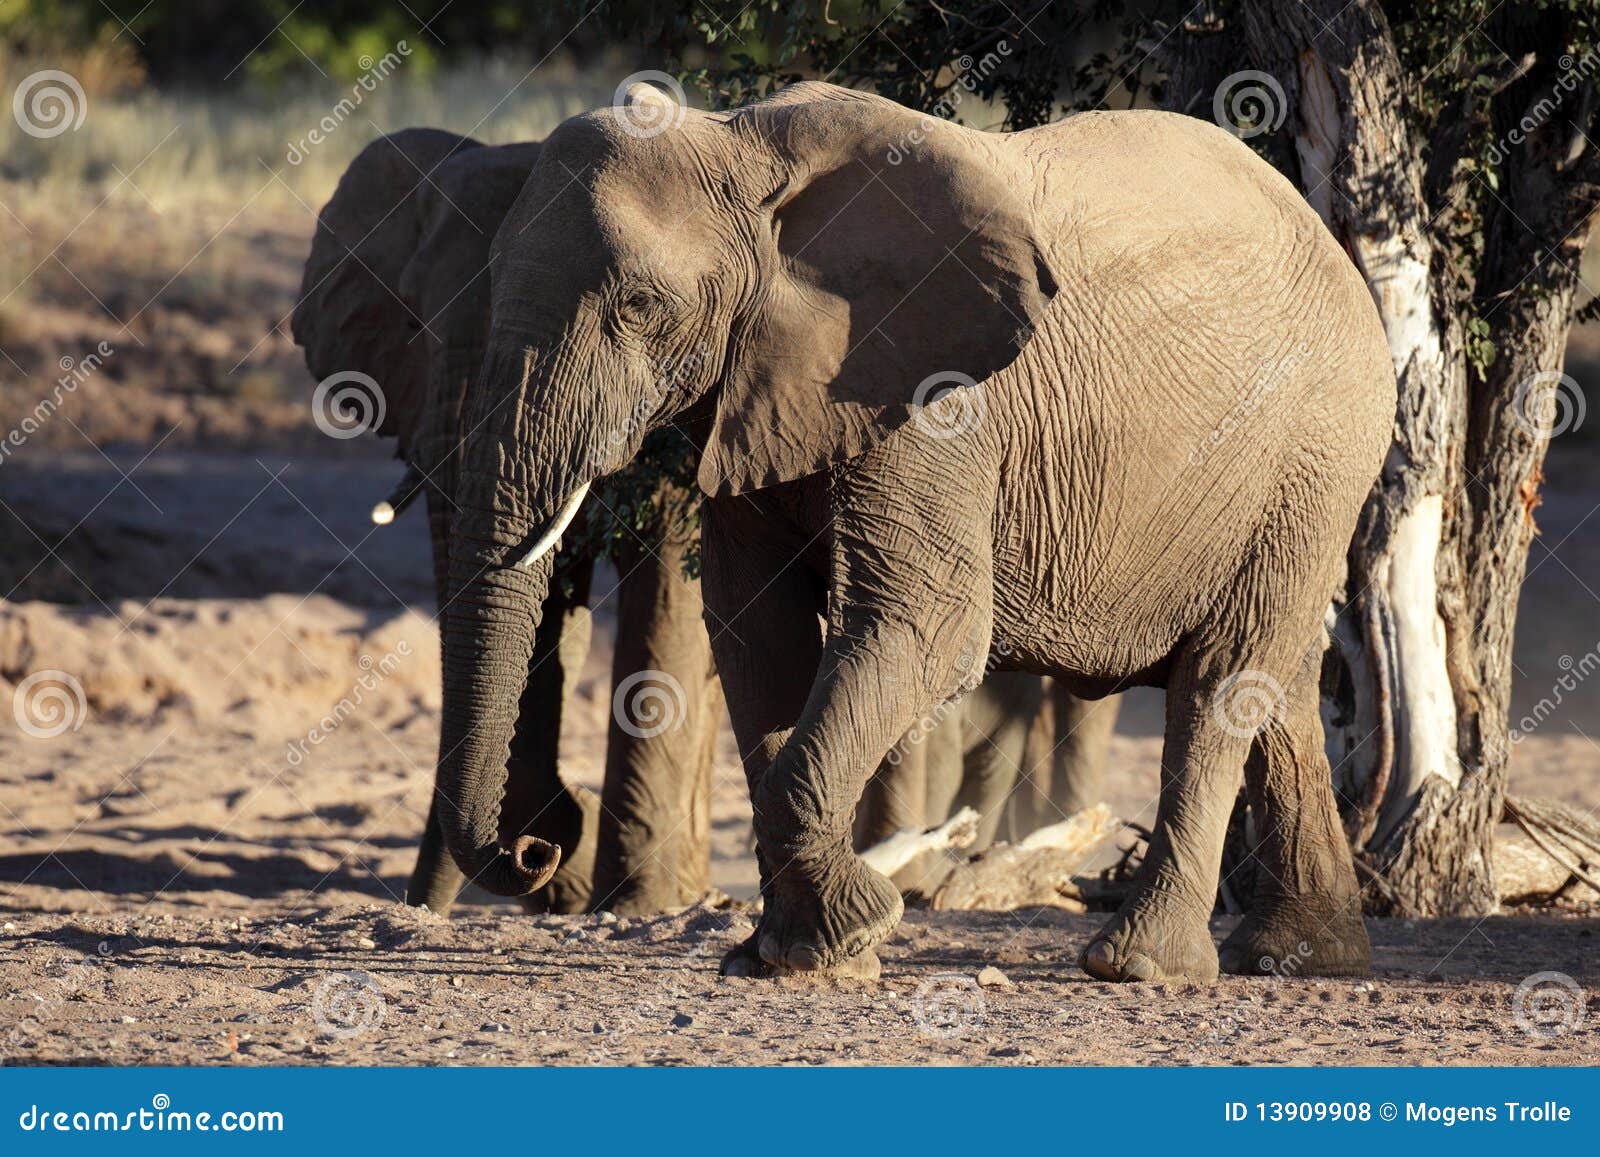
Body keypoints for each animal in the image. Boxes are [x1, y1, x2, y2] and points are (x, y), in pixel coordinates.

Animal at [291, 129, 722, 917]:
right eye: (413, 325)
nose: (531, 851)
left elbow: (664, 579)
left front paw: (625, 902)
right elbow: (543, 603)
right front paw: (570, 849)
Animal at [427, 79, 1393, 985]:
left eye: (638, 305)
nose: (536, 847)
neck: (741, 147)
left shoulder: (932, 398)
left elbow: (927, 627)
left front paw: (854, 929)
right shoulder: (761, 389)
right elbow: (756, 632)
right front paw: (790, 954)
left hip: (1313, 449)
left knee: (1221, 675)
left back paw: (1140, 964)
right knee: (1279, 682)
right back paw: (1304, 954)